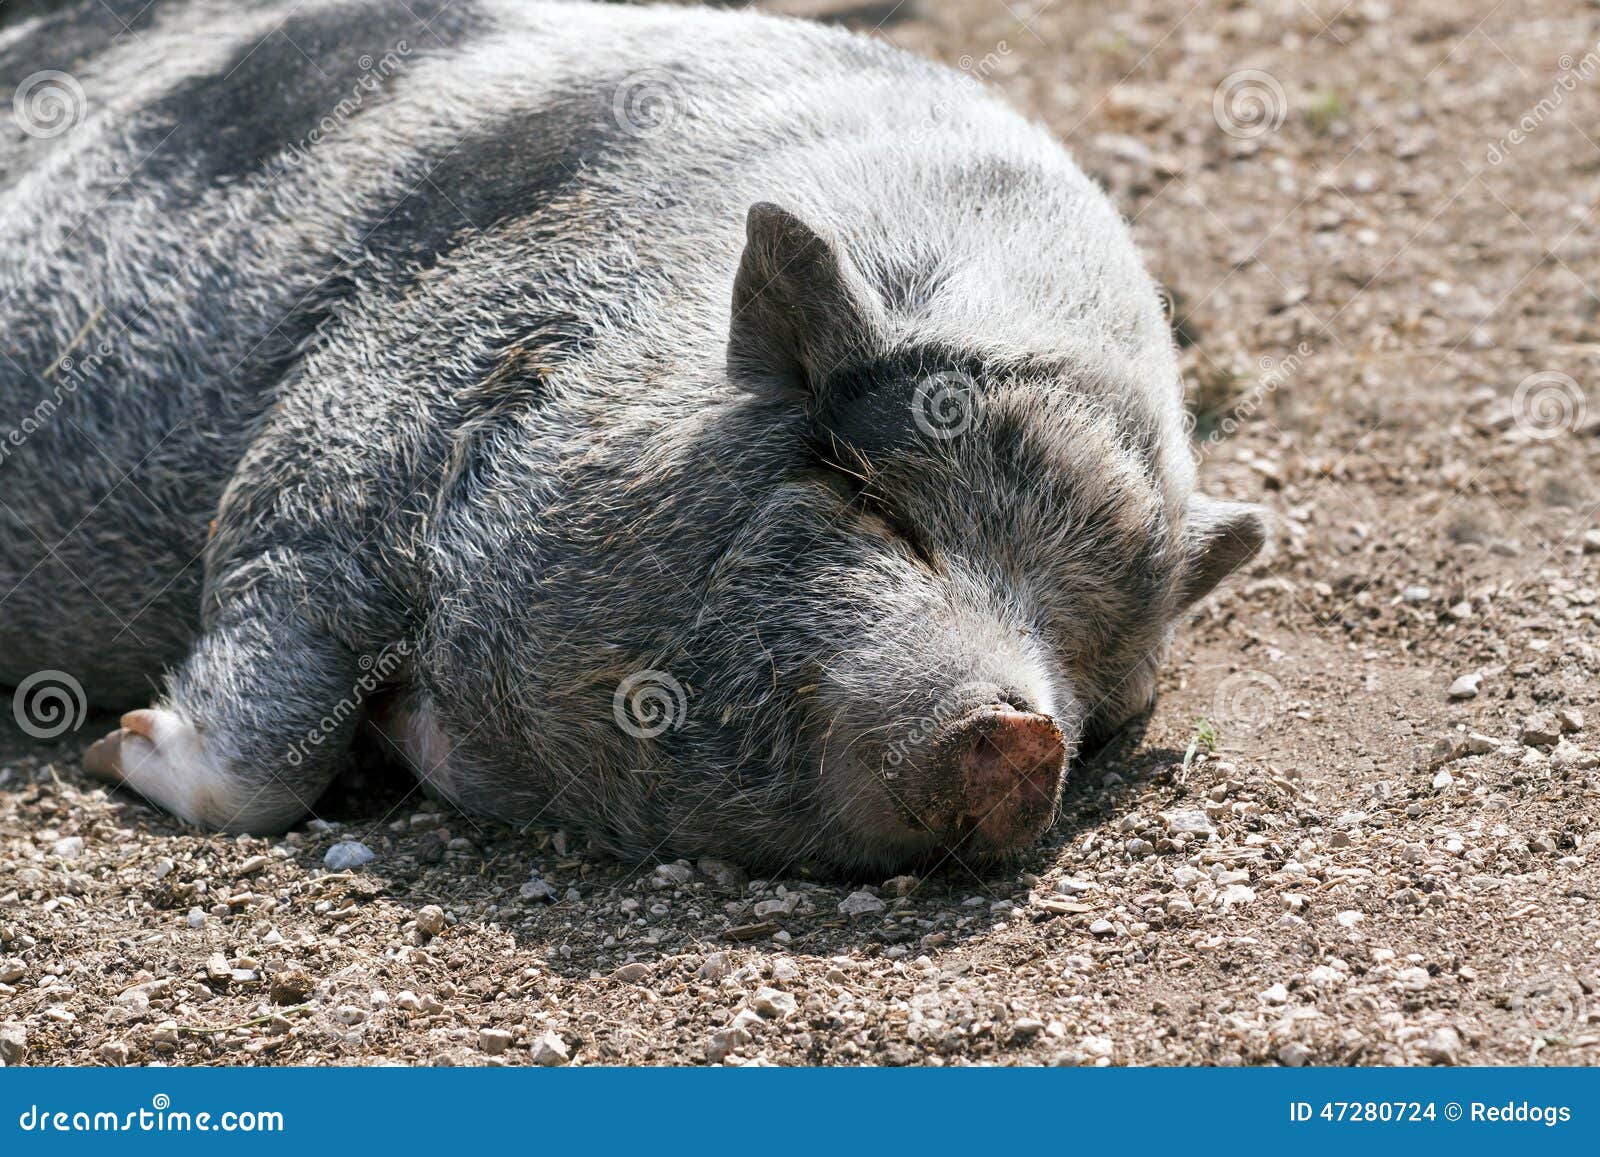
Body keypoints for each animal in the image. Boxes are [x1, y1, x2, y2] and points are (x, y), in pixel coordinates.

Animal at [0, 0, 1266, 874]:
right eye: (878, 504)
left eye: (1092, 676)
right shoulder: (350, 433)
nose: (1020, 736)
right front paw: (115, 745)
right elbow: (267, 731)